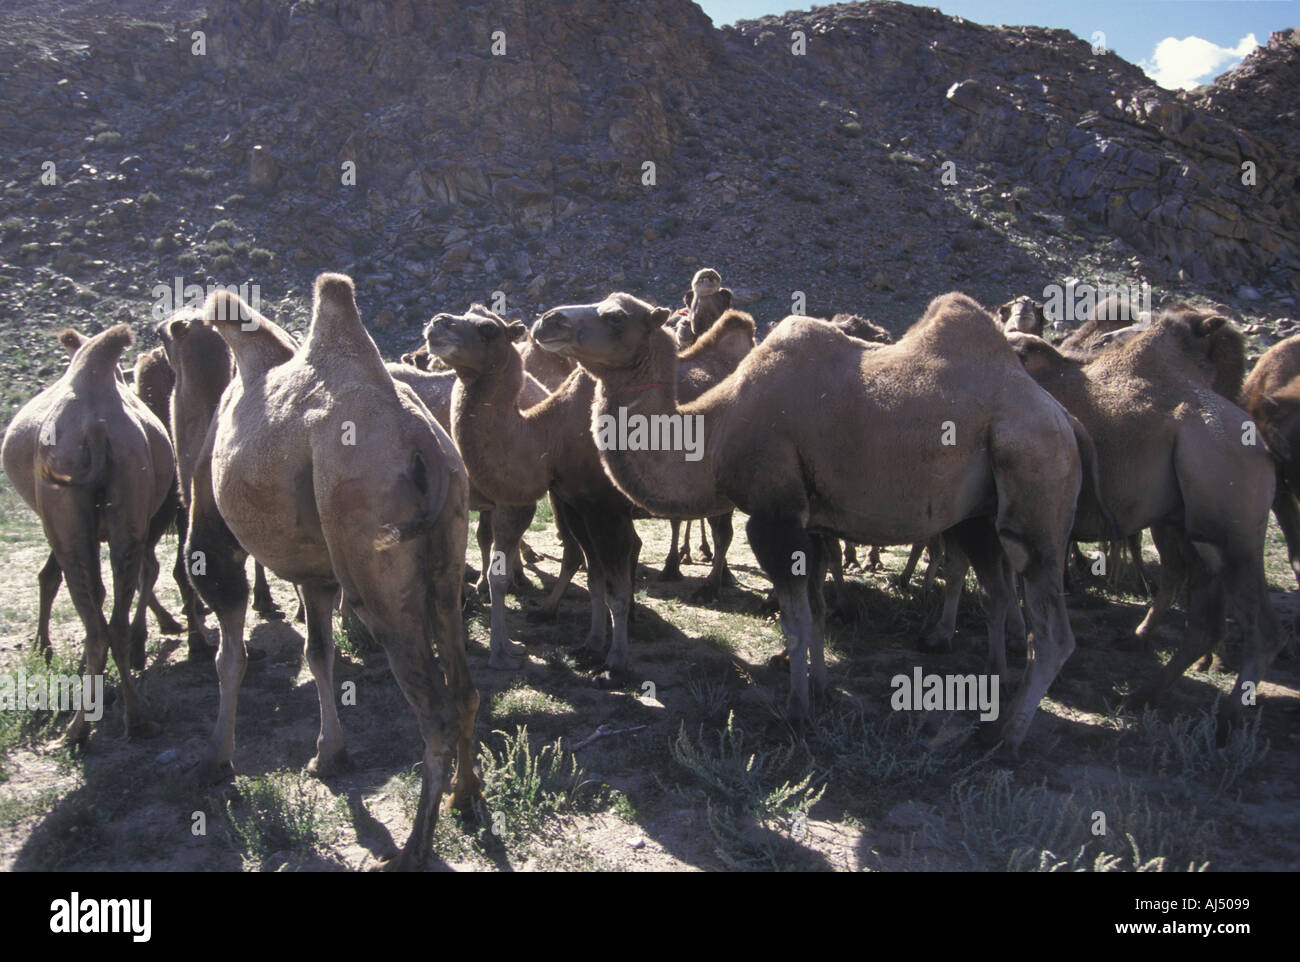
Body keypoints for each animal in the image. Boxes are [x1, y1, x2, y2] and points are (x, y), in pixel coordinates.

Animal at [2, 324, 173, 742]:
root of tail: (94, 427)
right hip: (127, 501)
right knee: (114, 619)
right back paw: (136, 718)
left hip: (65, 515)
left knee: (93, 615)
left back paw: (76, 727)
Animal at [198, 275, 479, 870]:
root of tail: (422, 447)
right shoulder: (316, 572)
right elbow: (318, 652)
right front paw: (328, 755)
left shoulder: (216, 539)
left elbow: (230, 655)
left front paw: (216, 758)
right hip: (446, 553)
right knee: (463, 685)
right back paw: (466, 798)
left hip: (374, 568)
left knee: (434, 710)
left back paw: (413, 850)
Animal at [535, 291, 1084, 748]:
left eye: (615, 316)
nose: (547, 320)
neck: (716, 430)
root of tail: (1064, 418)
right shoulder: (814, 523)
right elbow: (817, 610)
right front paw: (819, 687)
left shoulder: (774, 517)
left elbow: (795, 619)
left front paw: (797, 711)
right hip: (980, 513)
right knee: (996, 591)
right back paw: (992, 688)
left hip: (1035, 481)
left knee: (1053, 631)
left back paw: (1005, 739)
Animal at [1006, 307, 1280, 736]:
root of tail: (1262, 448)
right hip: (1190, 532)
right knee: (1203, 619)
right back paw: (1140, 695)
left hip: (1234, 536)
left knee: (1258, 627)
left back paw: (1225, 719)